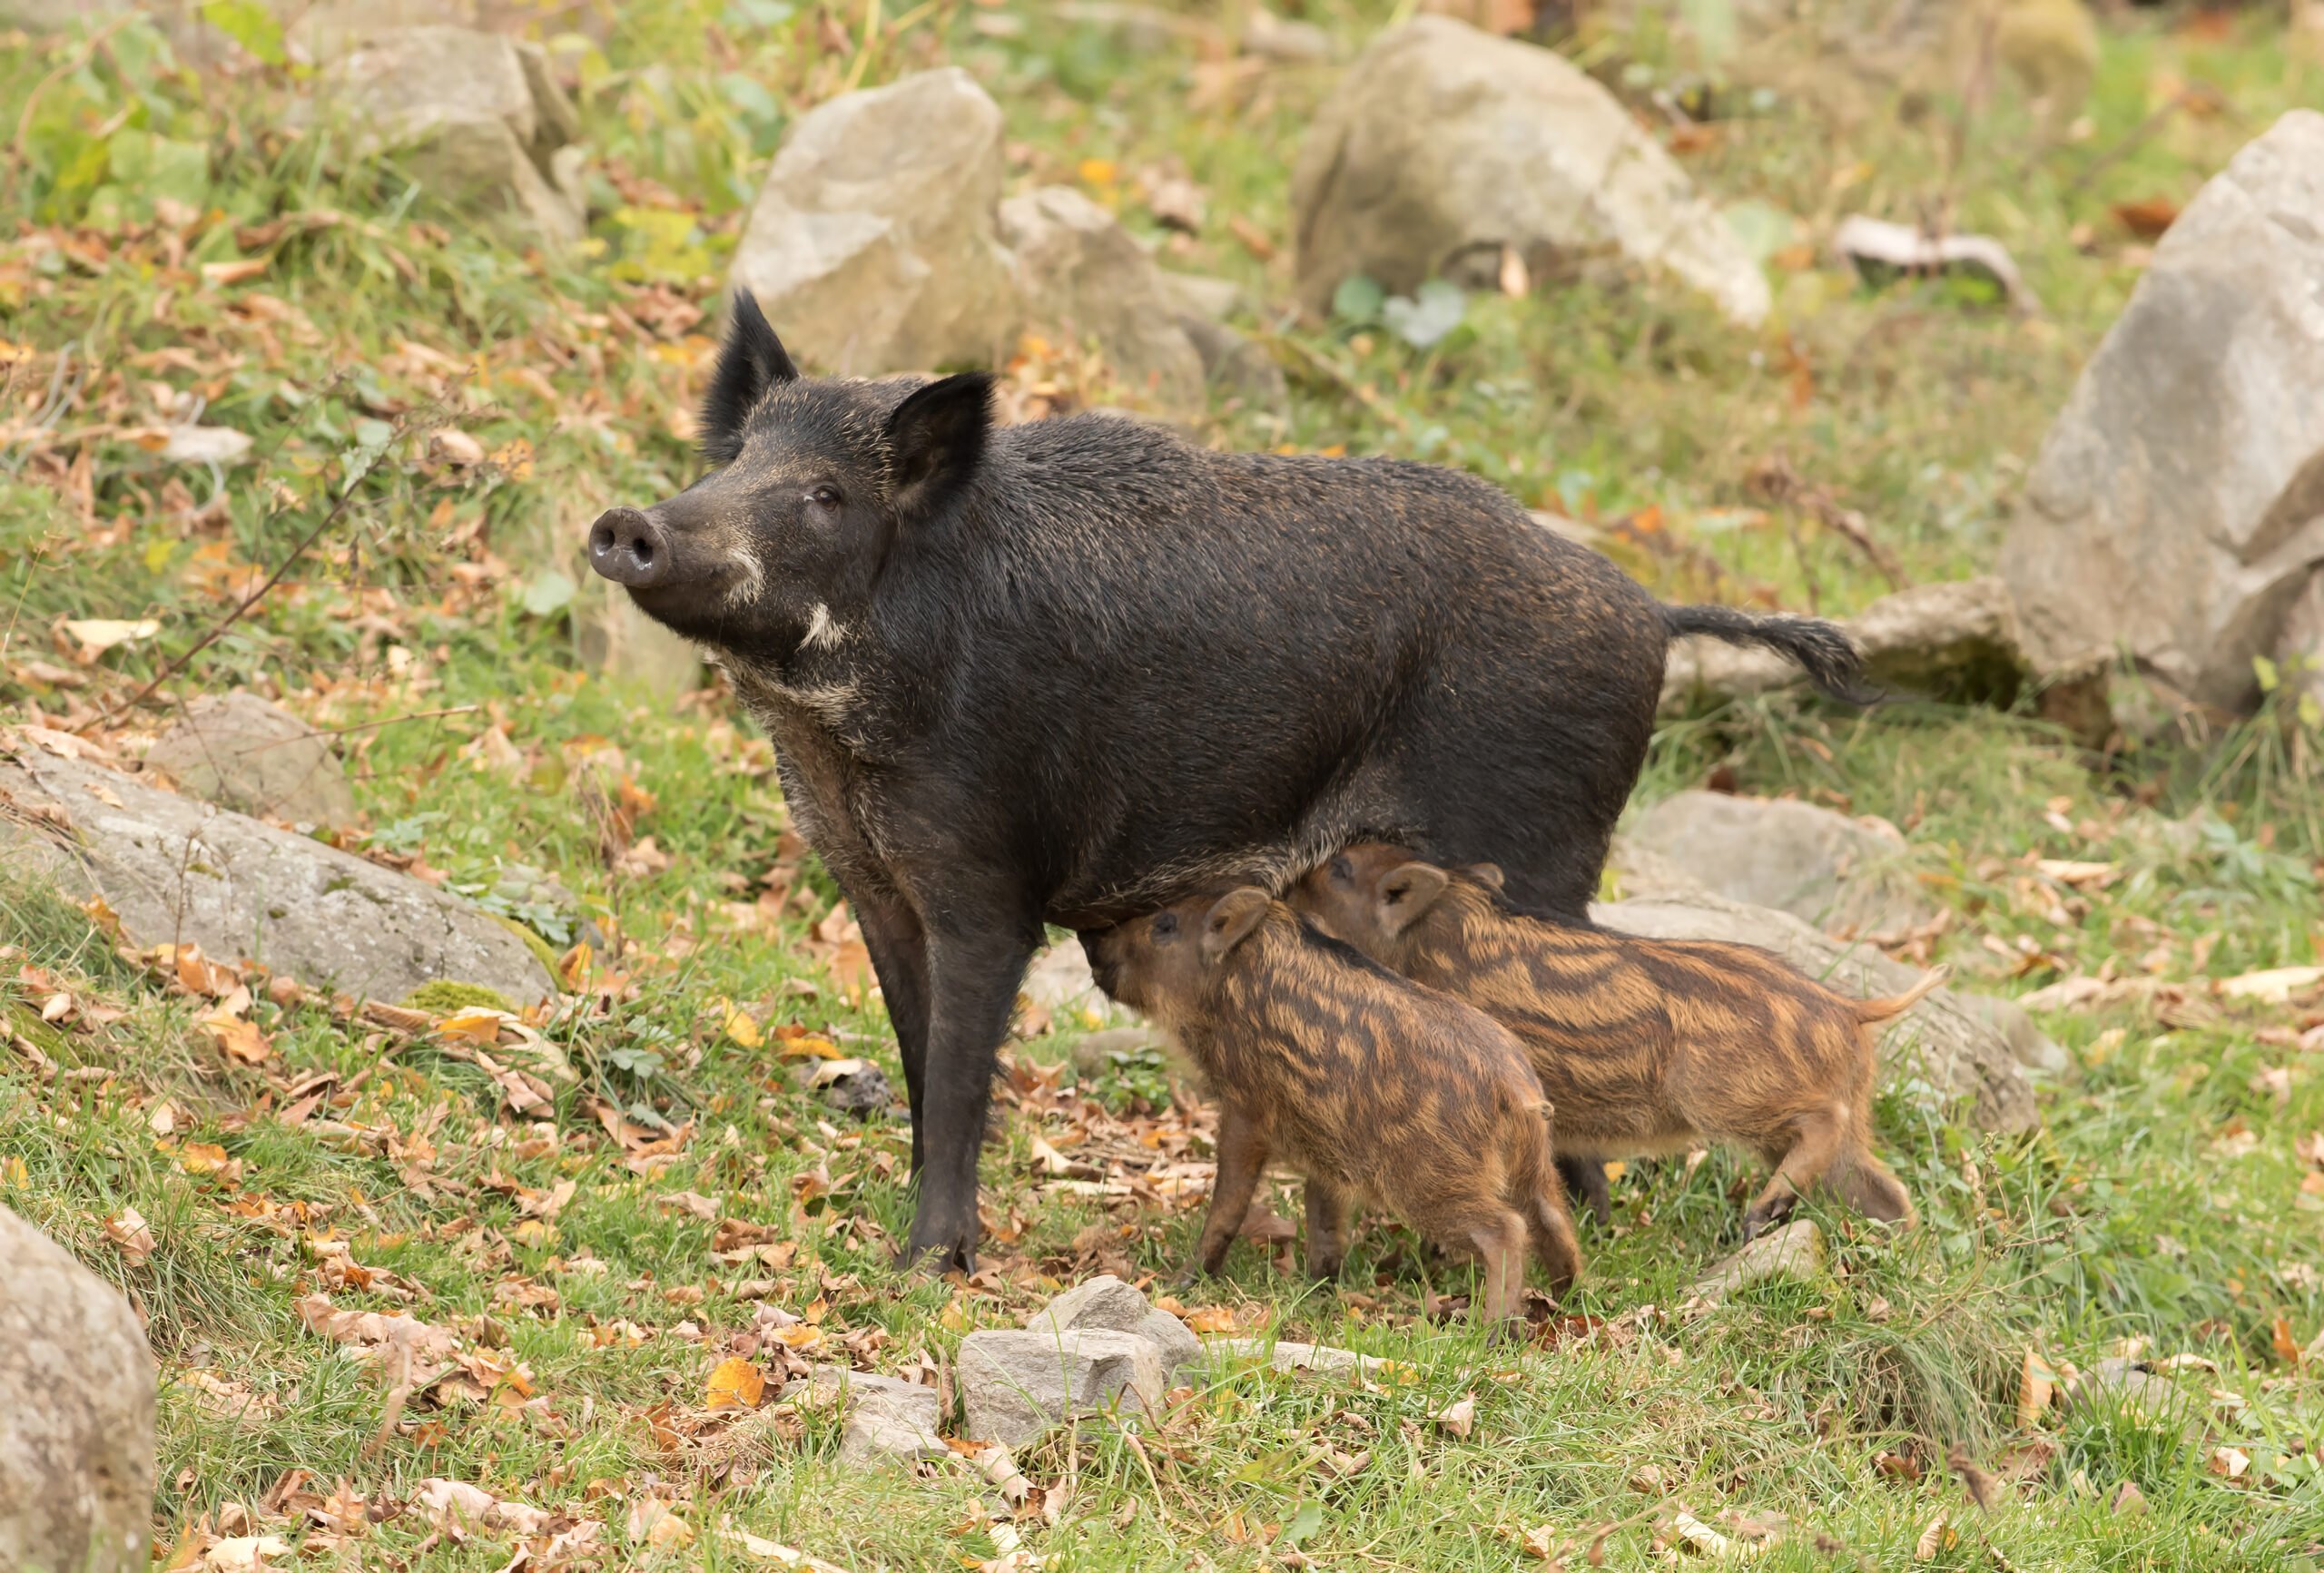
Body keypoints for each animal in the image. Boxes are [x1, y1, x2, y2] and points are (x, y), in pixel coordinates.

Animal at [1082, 887, 1581, 1324]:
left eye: (1164, 925)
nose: (1088, 938)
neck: (1226, 988)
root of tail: (1518, 1091)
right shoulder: (1323, 1144)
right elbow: (1321, 1209)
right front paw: (1317, 1283)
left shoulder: (1246, 1109)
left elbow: (1229, 1202)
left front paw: (1181, 1282)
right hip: (1531, 1170)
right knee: (1552, 1217)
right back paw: (1569, 1298)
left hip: (1432, 1180)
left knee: (1505, 1229)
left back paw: (1492, 1328)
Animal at [1292, 844, 1934, 1239]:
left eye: (1340, 869)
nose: (1288, 886)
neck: (1435, 937)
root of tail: (1849, 1010)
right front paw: (1598, 1223)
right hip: (1822, 1128)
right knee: (1889, 1193)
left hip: (1729, 1094)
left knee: (1823, 1123)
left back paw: (1759, 1216)